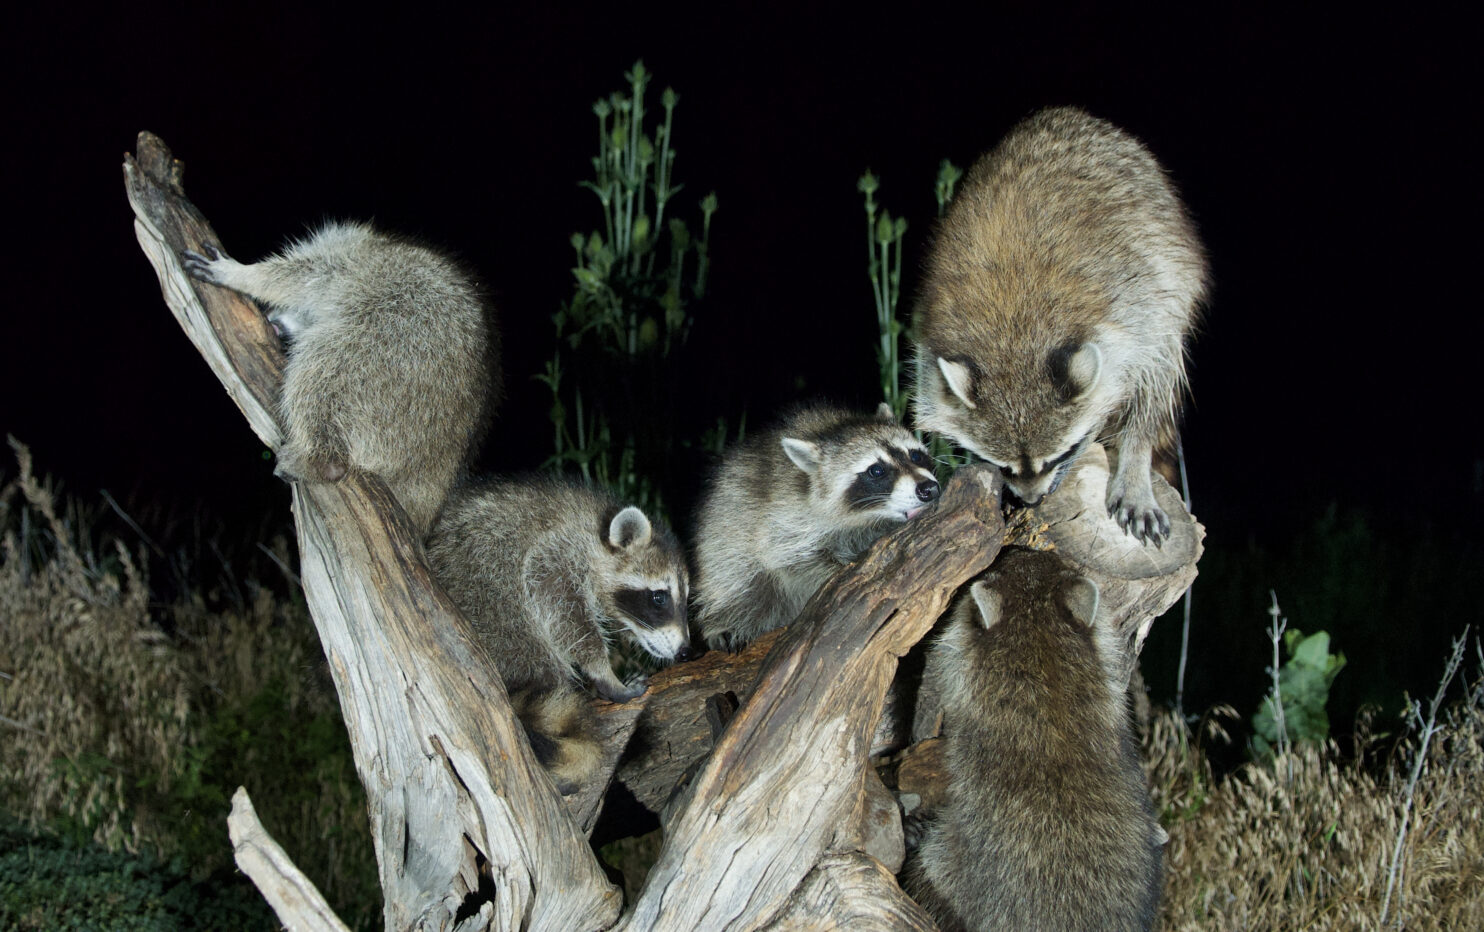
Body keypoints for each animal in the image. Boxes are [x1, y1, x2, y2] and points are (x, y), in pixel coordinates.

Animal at [183, 221, 496, 537]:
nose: (276, 323)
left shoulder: (343, 261)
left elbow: (302, 276)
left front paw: (243, 274)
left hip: (393, 353)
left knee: (320, 361)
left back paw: (321, 460)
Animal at [426, 477, 692, 792]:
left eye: (686, 600)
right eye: (659, 598)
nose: (685, 651)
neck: (596, 527)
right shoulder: (557, 551)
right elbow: (556, 601)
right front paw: (603, 672)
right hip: (484, 594)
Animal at [693, 403, 939, 651]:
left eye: (915, 455)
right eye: (876, 470)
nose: (929, 489)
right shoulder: (783, 513)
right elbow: (790, 558)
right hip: (724, 527)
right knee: (737, 578)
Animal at [913, 107, 1206, 545]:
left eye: (1061, 454)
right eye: (1001, 465)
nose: (1031, 500)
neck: (1013, 331)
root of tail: (1069, 114)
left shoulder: (1143, 303)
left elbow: (1151, 388)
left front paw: (1135, 462)